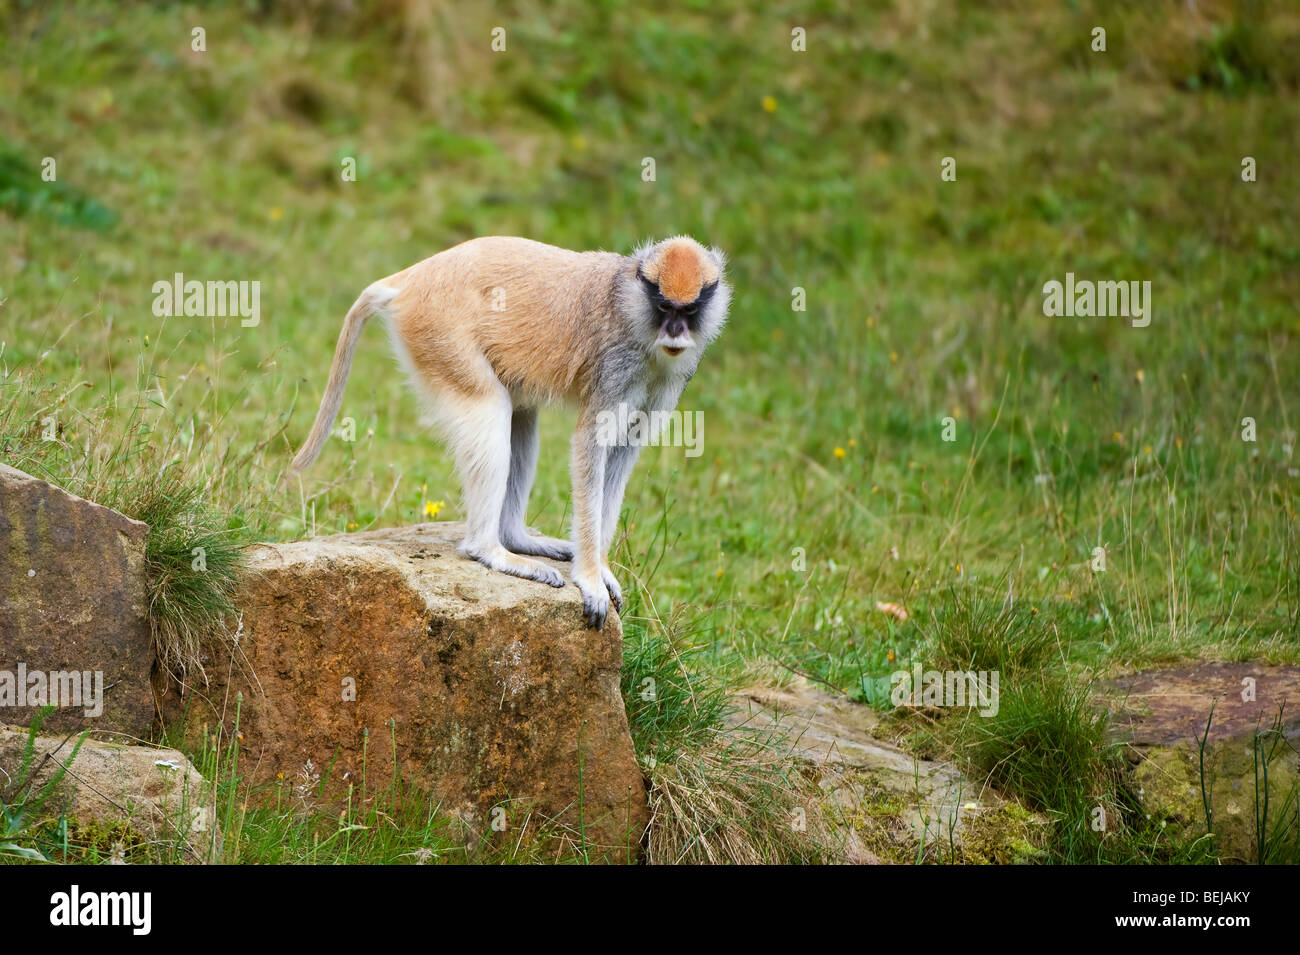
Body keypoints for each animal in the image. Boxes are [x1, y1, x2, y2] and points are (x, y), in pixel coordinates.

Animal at [290, 235, 730, 630]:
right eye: (664, 306)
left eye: (690, 310)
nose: (675, 331)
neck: (631, 303)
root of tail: (415, 274)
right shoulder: (615, 365)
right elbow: (591, 444)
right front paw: (590, 578)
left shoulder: (669, 377)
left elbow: (625, 448)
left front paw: (600, 569)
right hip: (440, 335)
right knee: (490, 408)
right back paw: (492, 550)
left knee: (521, 416)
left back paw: (516, 538)